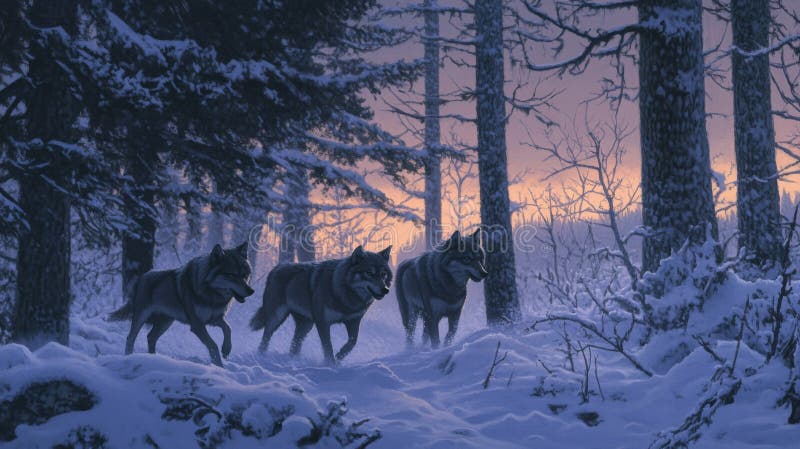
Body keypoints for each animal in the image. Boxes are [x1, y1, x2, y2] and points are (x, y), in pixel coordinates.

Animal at [109, 242, 255, 367]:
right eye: (232, 275)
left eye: (245, 275)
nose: (251, 291)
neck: (212, 295)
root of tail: (143, 276)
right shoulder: (197, 324)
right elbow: (213, 345)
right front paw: (219, 366)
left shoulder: (214, 319)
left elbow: (228, 328)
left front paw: (226, 349)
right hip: (142, 317)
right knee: (131, 337)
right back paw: (129, 357)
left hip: (166, 322)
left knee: (150, 337)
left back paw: (153, 357)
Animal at [250, 245, 392, 364]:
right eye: (369, 273)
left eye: (383, 274)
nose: (385, 290)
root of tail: (276, 267)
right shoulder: (323, 323)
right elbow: (328, 346)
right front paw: (330, 364)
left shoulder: (354, 321)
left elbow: (352, 342)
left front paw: (339, 356)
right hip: (277, 318)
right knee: (265, 338)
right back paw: (261, 356)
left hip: (306, 325)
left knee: (294, 345)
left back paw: (294, 361)